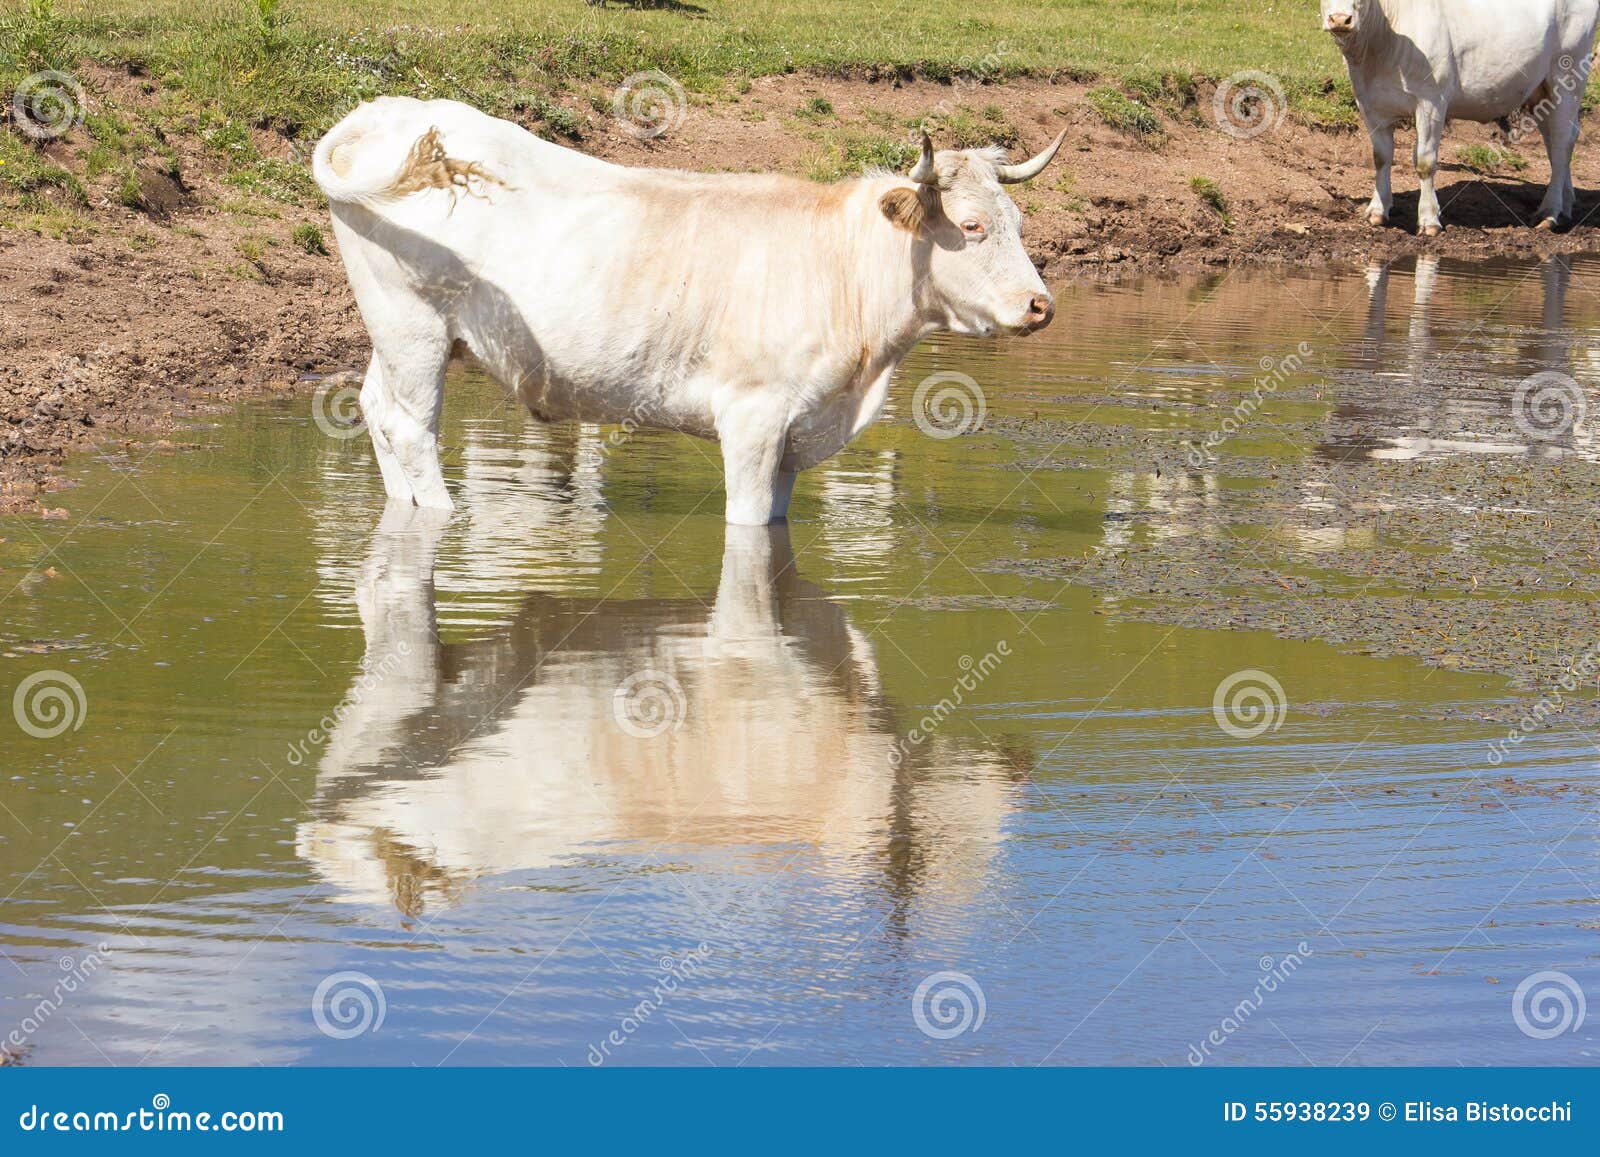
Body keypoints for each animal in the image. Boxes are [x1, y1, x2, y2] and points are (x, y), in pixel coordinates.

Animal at [311, 97, 1063, 524]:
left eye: (1019, 221)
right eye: (970, 225)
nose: (1041, 305)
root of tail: (384, 111)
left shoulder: (799, 434)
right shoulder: (753, 416)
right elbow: (748, 530)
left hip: (396, 331)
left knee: (376, 409)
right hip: (414, 326)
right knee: (410, 429)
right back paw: (442, 515)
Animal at [1320, 0, 1600, 234]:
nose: (1340, 19)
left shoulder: (1431, 101)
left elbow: (1424, 162)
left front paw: (1429, 219)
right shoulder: (1370, 105)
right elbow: (1381, 158)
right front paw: (1377, 210)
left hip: (1568, 75)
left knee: (1562, 142)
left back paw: (1550, 212)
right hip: (1540, 89)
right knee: (1556, 139)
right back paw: (1566, 205)